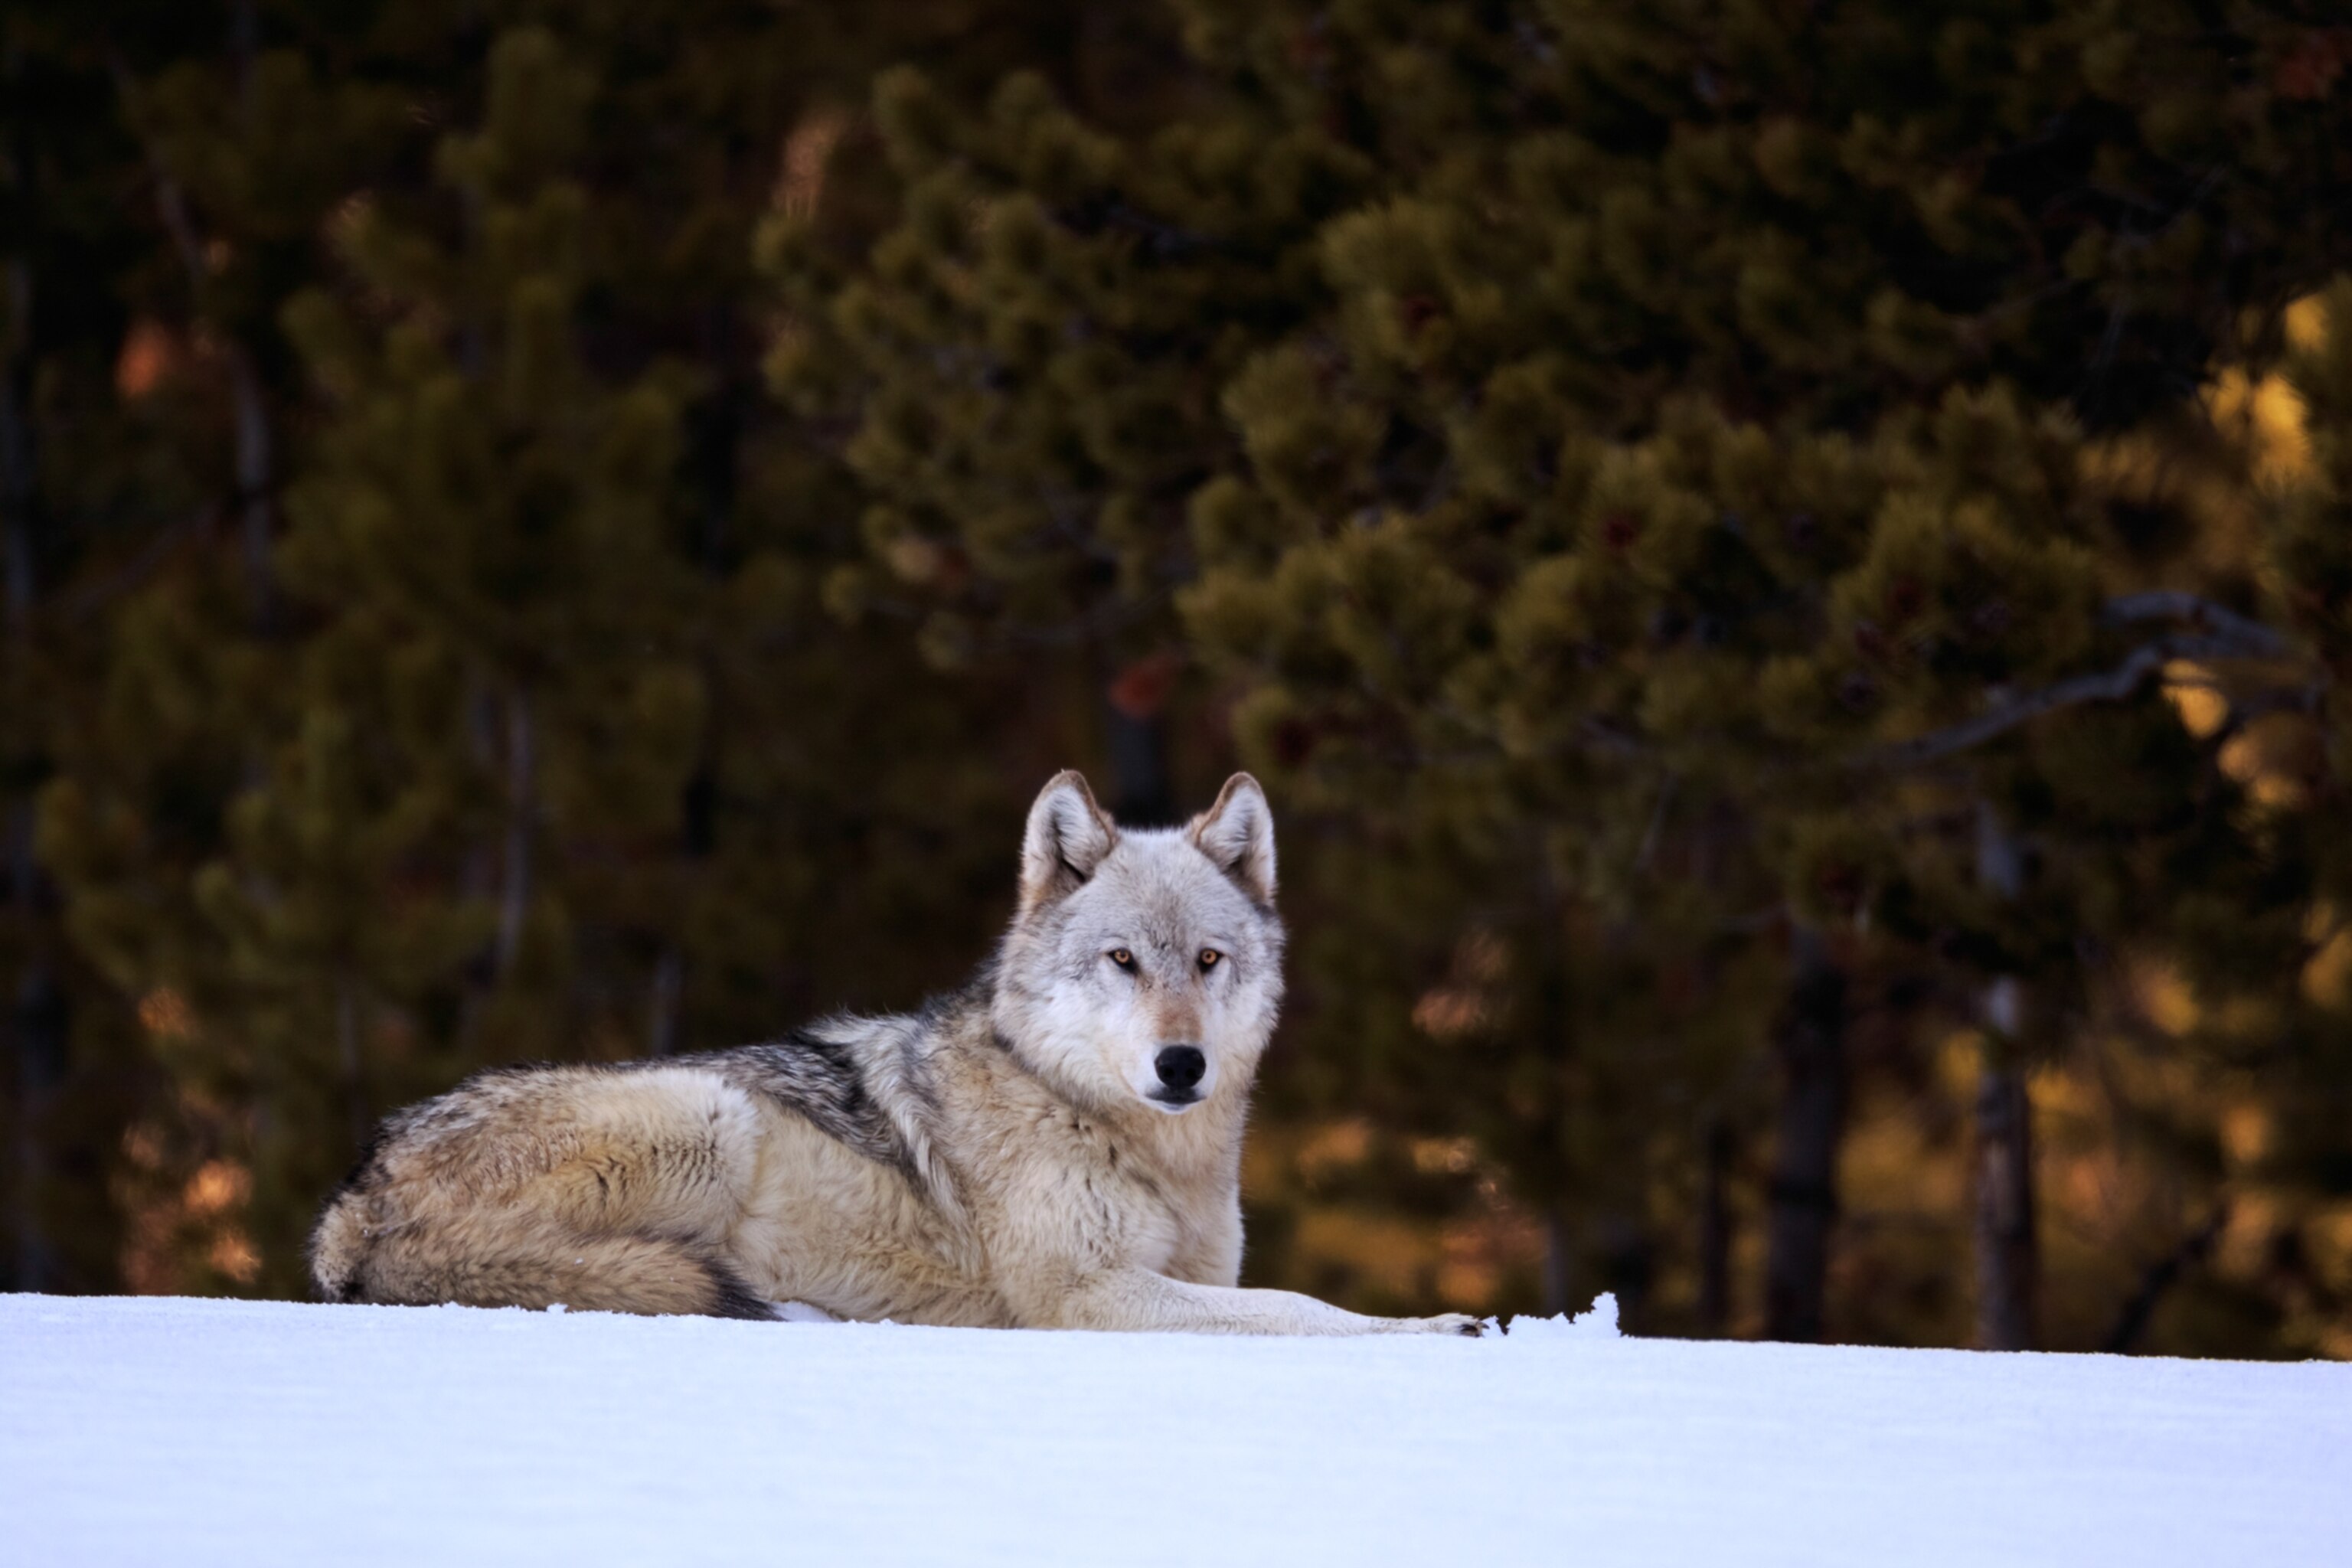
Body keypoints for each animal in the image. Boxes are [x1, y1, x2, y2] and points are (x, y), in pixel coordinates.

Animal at [310, 771, 1483, 1336]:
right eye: (1121, 961)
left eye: (1206, 959)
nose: (1182, 1065)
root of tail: (350, 1204)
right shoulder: (1083, 1295)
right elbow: (1299, 1309)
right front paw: (1437, 1329)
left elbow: (1281, 1299)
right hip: (710, 1113)